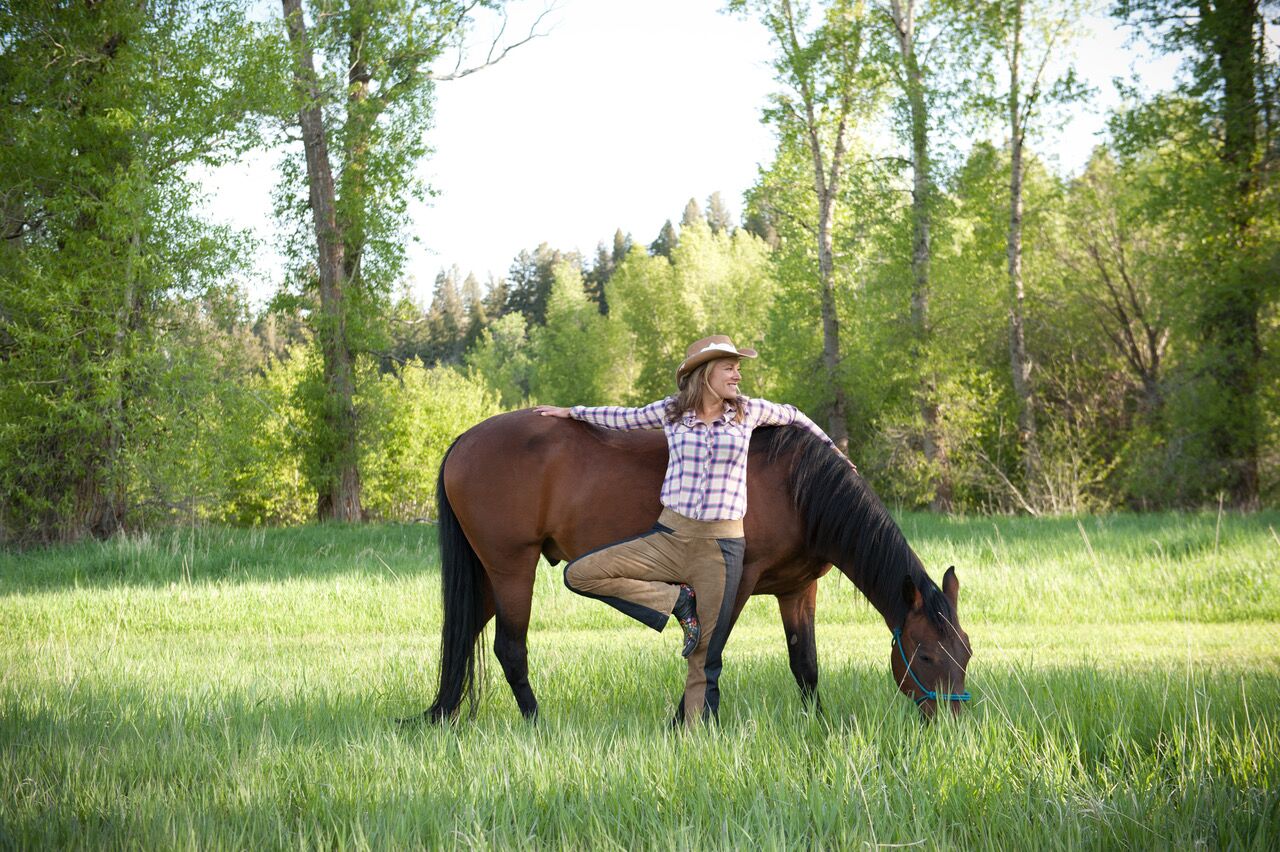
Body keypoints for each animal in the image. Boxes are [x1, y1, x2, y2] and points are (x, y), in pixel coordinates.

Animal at [410, 409, 971, 725]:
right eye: (924, 656)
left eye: (964, 652)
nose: (951, 721)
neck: (799, 488)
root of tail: (462, 442)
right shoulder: (735, 581)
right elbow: (709, 651)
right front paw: (687, 721)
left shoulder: (797, 592)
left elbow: (805, 665)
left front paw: (818, 728)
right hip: (512, 570)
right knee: (510, 648)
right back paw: (534, 723)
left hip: (488, 577)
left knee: (462, 637)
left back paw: (442, 714)